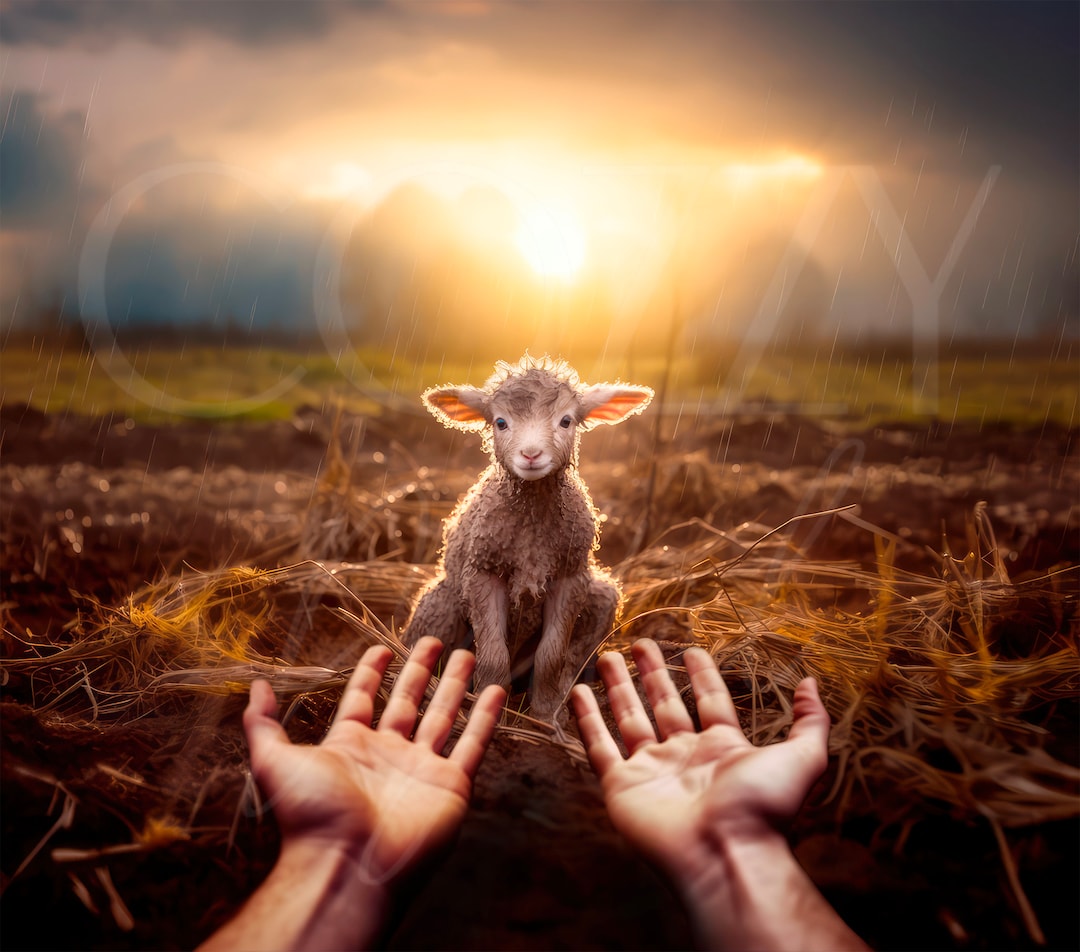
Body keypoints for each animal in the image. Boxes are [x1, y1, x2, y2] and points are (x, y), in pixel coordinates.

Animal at [401, 355, 653, 722]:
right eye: (500, 422)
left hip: (603, 596)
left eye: (566, 420)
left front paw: (547, 716)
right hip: (441, 604)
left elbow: (552, 656)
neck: (532, 522)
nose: (531, 454)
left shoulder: (570, 575)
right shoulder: (482, 571)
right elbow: (493, 658)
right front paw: (487, 710)